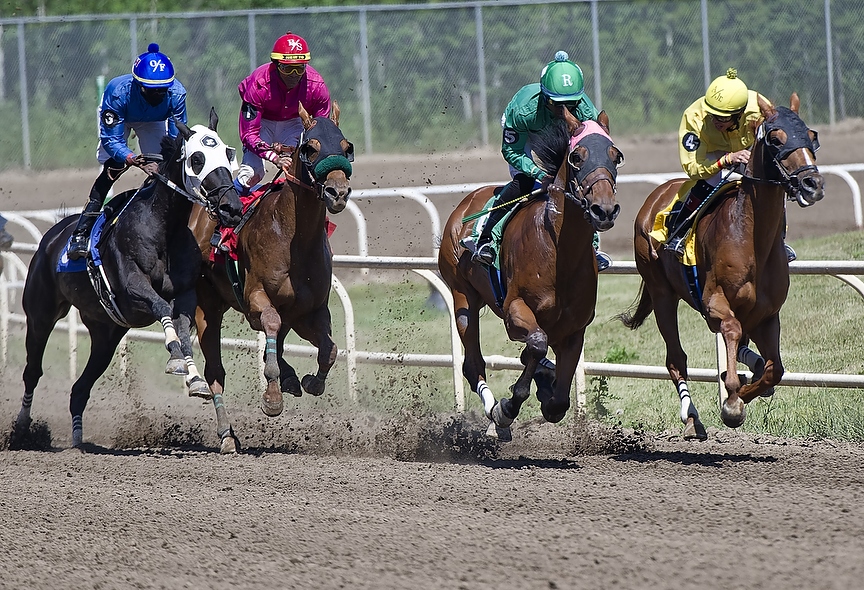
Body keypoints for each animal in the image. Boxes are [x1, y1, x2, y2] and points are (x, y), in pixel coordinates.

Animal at [13, 109, 245, 448]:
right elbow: (161, 308)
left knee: (79, 389)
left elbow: (183, 330)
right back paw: (21, 429)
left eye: (228, 153)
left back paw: (78, 439)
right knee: (32, 372)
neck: (164, 227)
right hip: (41, 313)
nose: (231, 207)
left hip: (105, 333)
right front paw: (175, 360)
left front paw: (194, 377)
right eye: (197, 158)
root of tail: (52, 236)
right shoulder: (132, 285)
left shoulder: (185, 293)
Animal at [188, 103, 353, 453]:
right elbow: (271, 327)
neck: (293, 237)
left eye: (347, 147)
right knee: (215, 371)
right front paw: (273, 397)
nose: (338, 192)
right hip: (207, 307)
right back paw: (227, 435)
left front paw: (310, 381)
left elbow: (329, 349)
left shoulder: (310, 311)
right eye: (310, 147)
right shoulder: (255, 299)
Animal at [439, 108, 623, 440]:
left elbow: (558, 403)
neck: (559, 251)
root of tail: (464, 205)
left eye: (615, 156)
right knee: (473, 364)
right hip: (463, 296)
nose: (604, 210)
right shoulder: (514, 310)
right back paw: (495, 414)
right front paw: (506, 408)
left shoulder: (574, 330)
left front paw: (546, 389)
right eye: (577, 157)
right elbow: (536, 342)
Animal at [619, 93, 824, 437]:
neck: (752, 239)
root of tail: (656, 195)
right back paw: (691, 416)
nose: (812, 184)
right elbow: (730, 331)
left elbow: (775, 370)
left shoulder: (768, 315)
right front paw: (731, 403)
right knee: (676, 358)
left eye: (811, 136)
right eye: (775, 138)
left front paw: (745, 390)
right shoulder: (714, 301)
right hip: (662, 294)